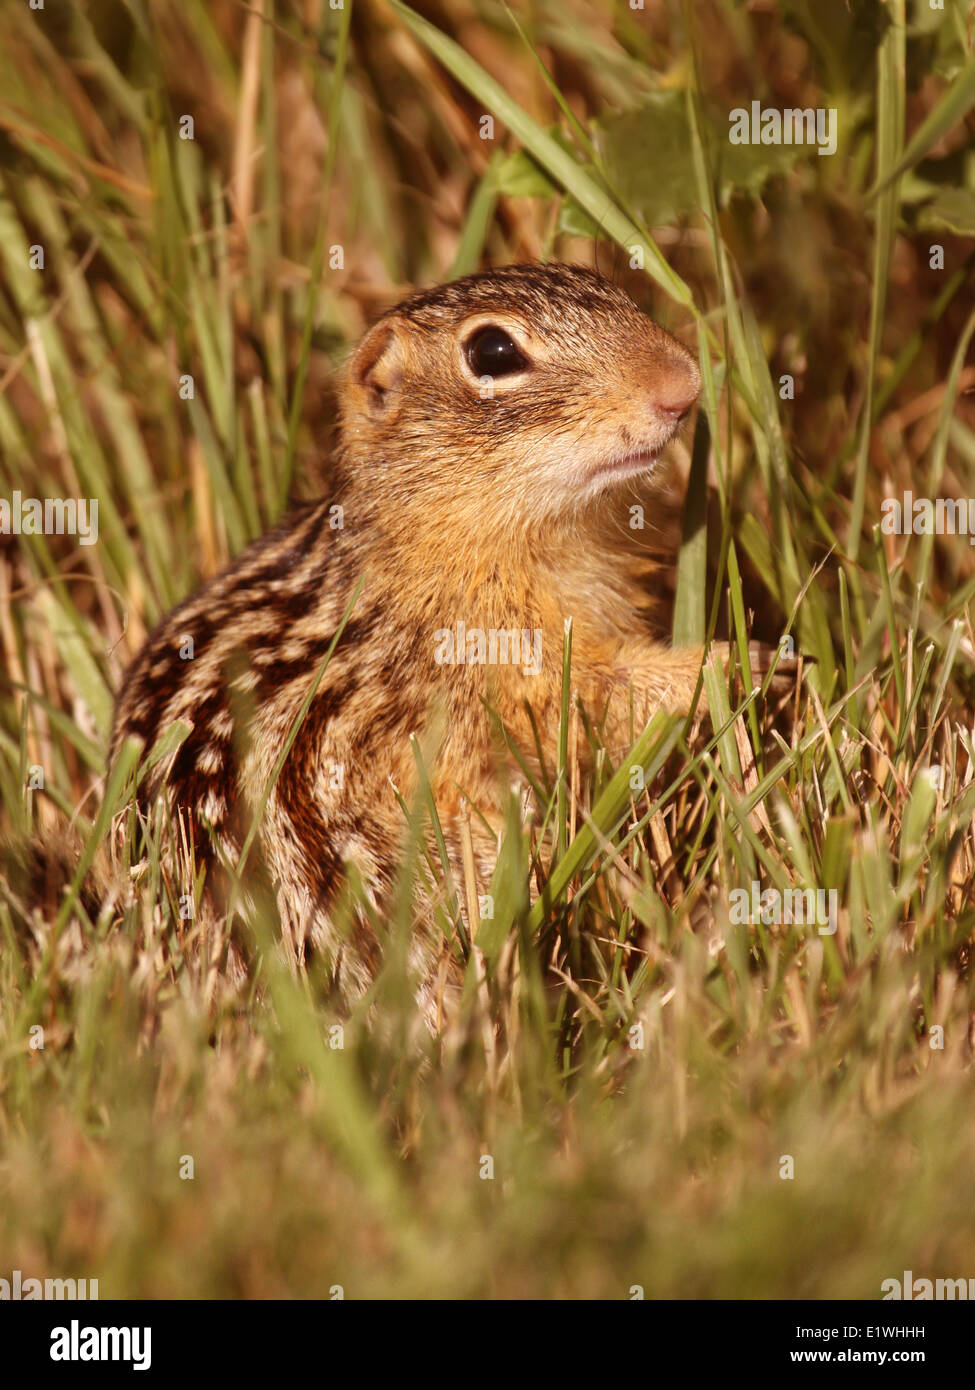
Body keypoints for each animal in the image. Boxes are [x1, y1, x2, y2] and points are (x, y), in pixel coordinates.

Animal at [110, 261, 718, 1017]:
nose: (683, 384)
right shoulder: (499, 680)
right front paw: (746, 665)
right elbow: (603, 700)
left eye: (601, 281)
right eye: (493, 352)